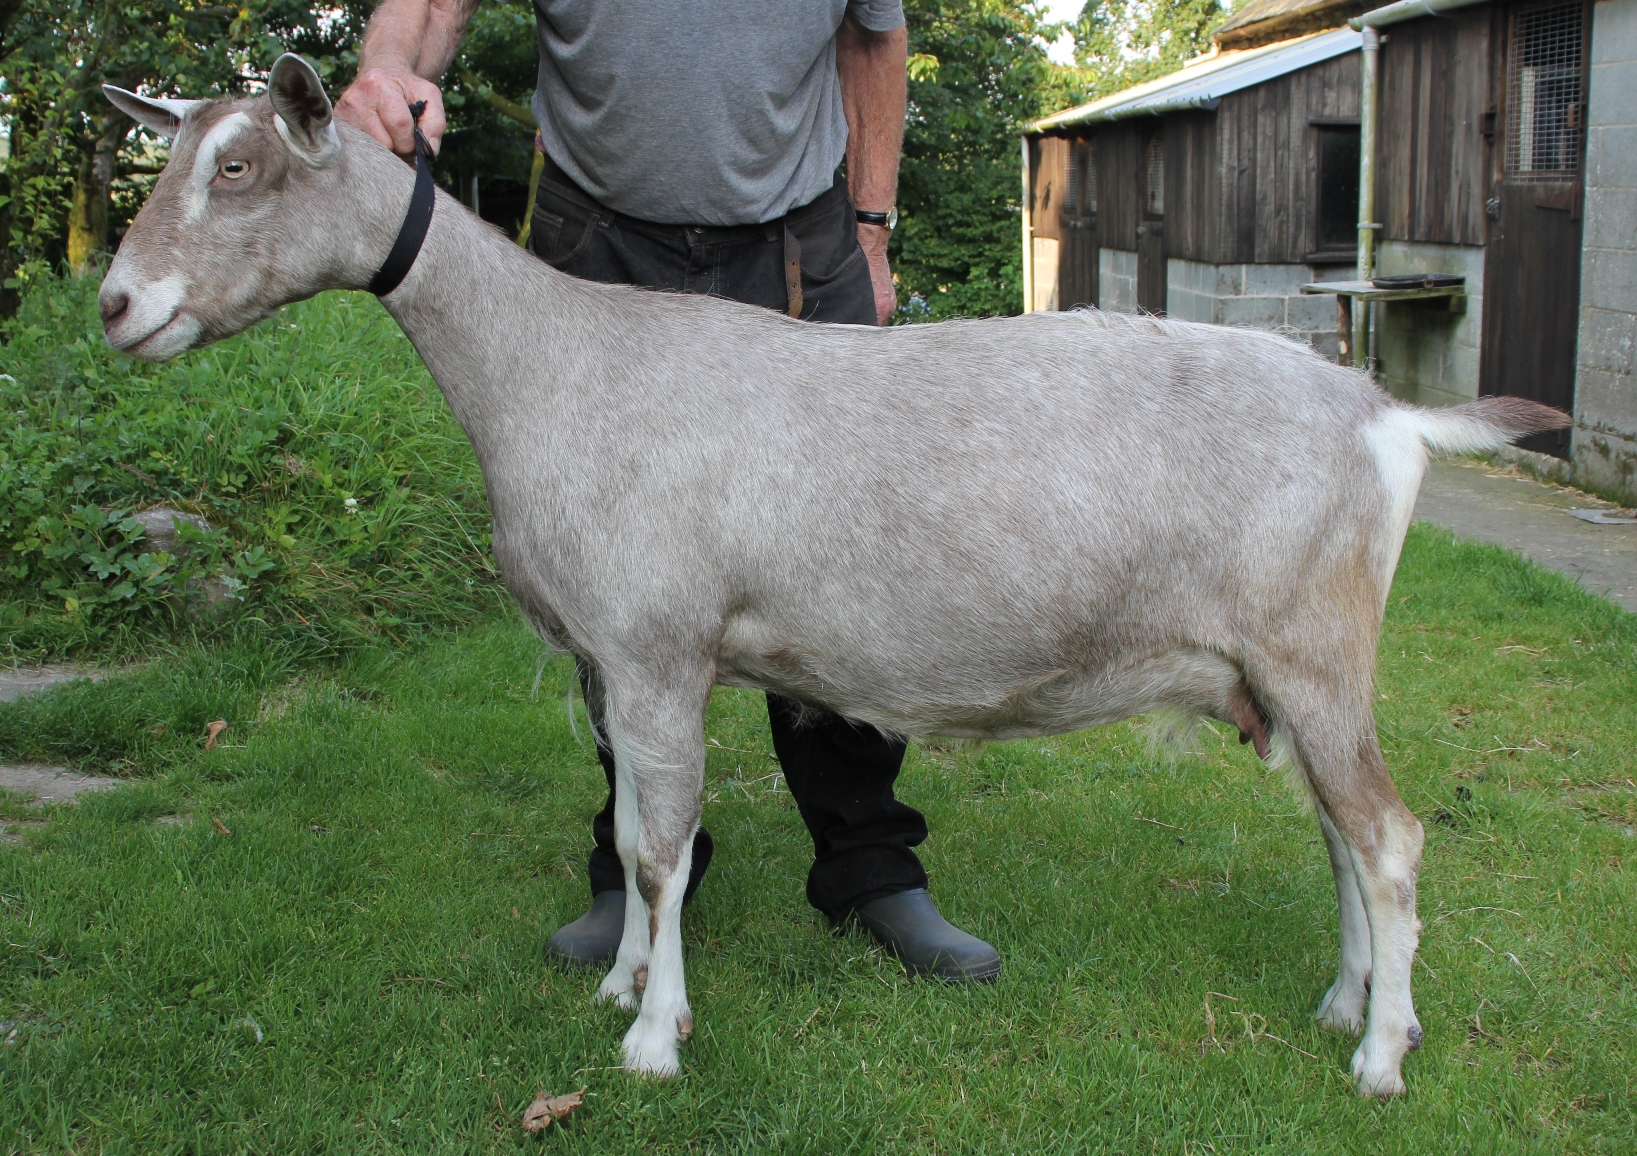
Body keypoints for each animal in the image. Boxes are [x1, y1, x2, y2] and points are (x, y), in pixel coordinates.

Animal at [100, 55, 1568, 1095]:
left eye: (242, 164)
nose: (116, 305)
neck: (552, 363)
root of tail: (1387, 418)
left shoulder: (658, 643)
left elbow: (658, 850)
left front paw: (654, 1042)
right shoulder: (615, 660)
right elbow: (629, 835)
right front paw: (620, 988)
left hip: (1313, 643)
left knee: (1387, 839)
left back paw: (1378, 1058)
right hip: (1286, 668)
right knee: (1338, 833)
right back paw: (1344, 1004)